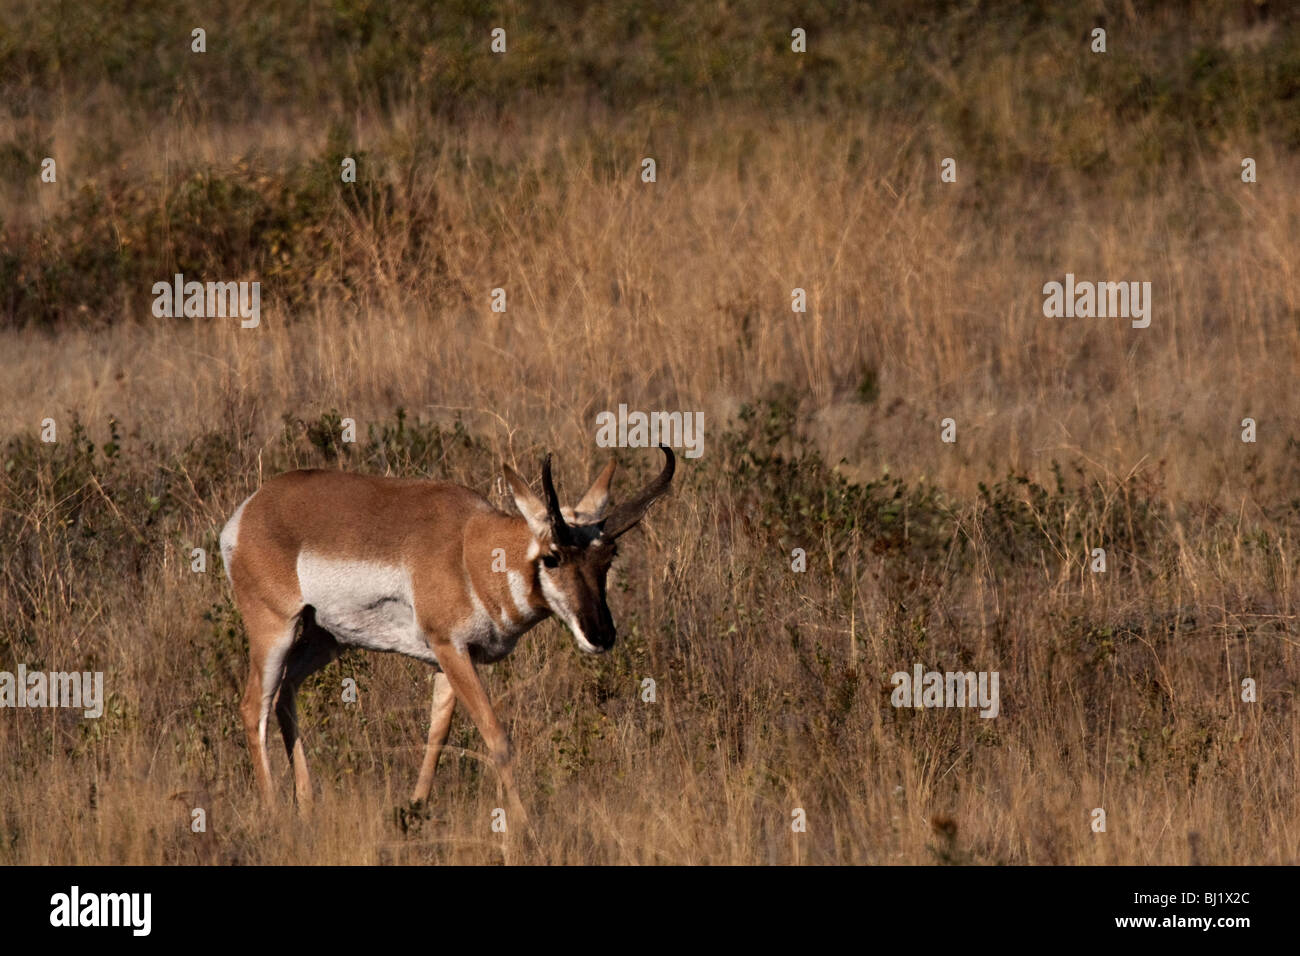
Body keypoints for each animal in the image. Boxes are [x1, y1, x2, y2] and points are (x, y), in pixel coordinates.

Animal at [219, 446, 674, 822]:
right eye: (553, 557)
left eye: (609, 555)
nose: (601, 635)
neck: (472, 549)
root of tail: (251, 509)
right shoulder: (450, 648)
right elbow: (497, 738)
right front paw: (524, 826)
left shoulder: (451, 657)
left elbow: (437, 734)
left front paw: (415, 809)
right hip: (274, 630)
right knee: (253, 706)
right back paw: (274, 812)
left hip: (325, 639)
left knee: (284, 693)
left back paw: (308, 803)